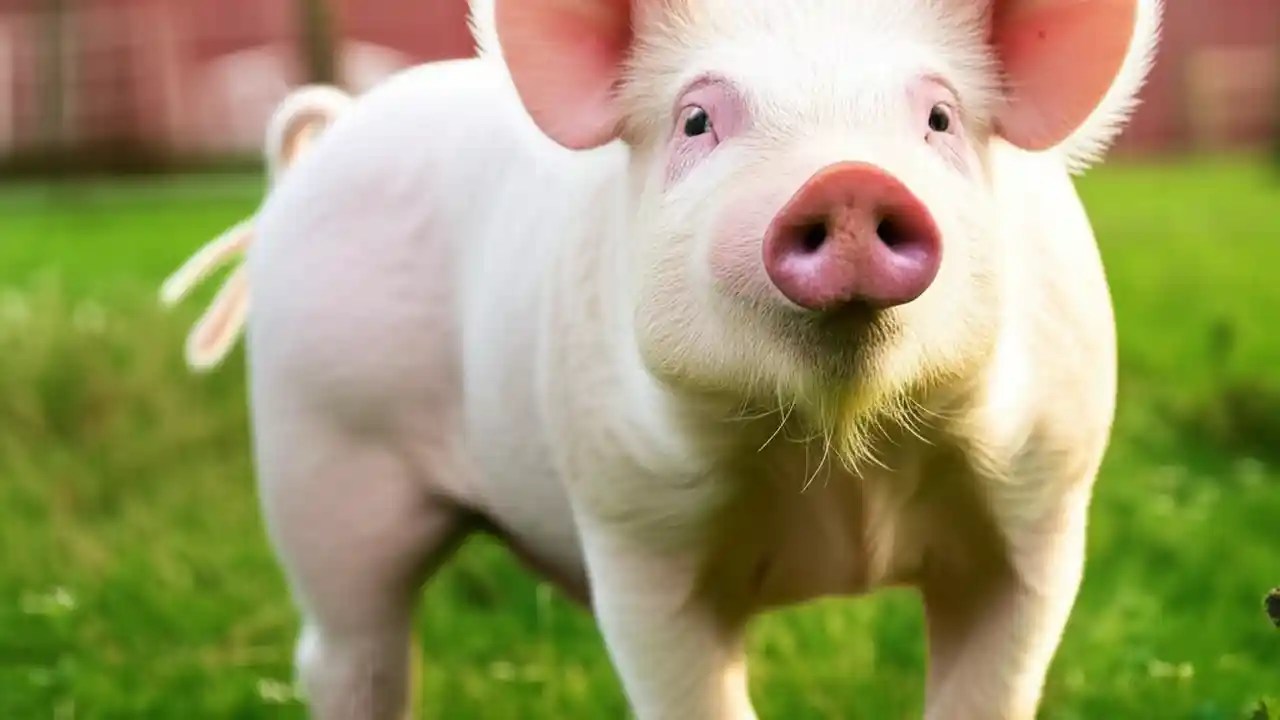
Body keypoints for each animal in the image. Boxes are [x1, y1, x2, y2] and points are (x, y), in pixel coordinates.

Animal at [168, 0, 1162, 717]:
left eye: (940, 117)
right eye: (696, 120)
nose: (847, 179)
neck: (837, 464)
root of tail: (330, 135)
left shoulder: (1045, 502)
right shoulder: (631, 526)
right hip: (319, 456)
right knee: (348, 644)